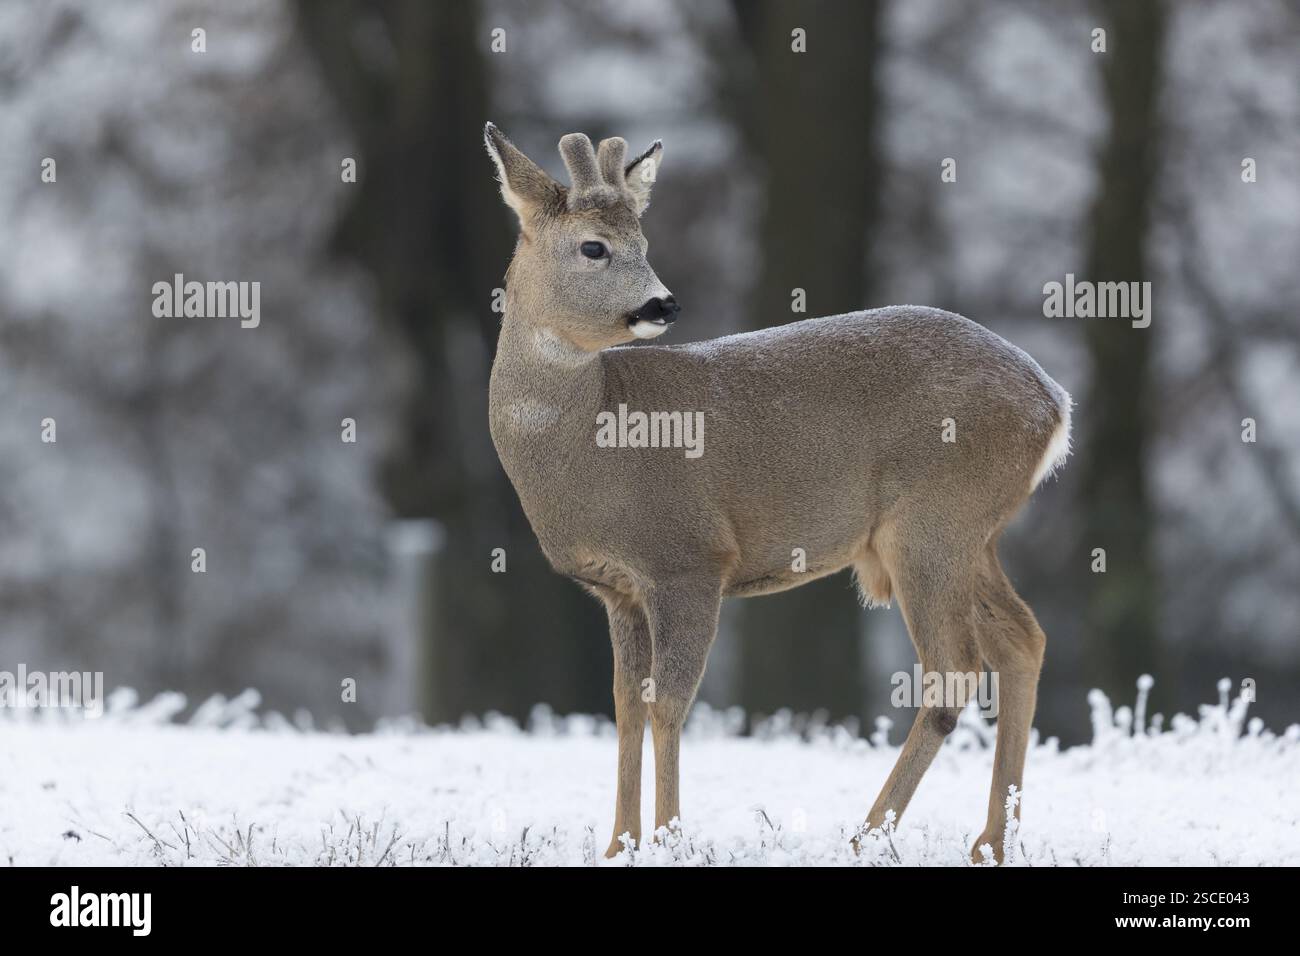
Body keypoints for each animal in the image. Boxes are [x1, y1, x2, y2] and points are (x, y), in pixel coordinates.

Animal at [483, 123, 1072, 864]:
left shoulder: (691, 559)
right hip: (974, 531)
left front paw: (671, 839)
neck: (594, 438)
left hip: (934, 518)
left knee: (954, 668)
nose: (663, 304)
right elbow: (624, 705)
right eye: (595, 246)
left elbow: (668, 704)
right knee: (1022, 639)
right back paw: (990, 841)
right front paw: (619, 844)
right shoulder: (618, 589)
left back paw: (866, 836)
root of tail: (1053, 403)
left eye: (642, 240)